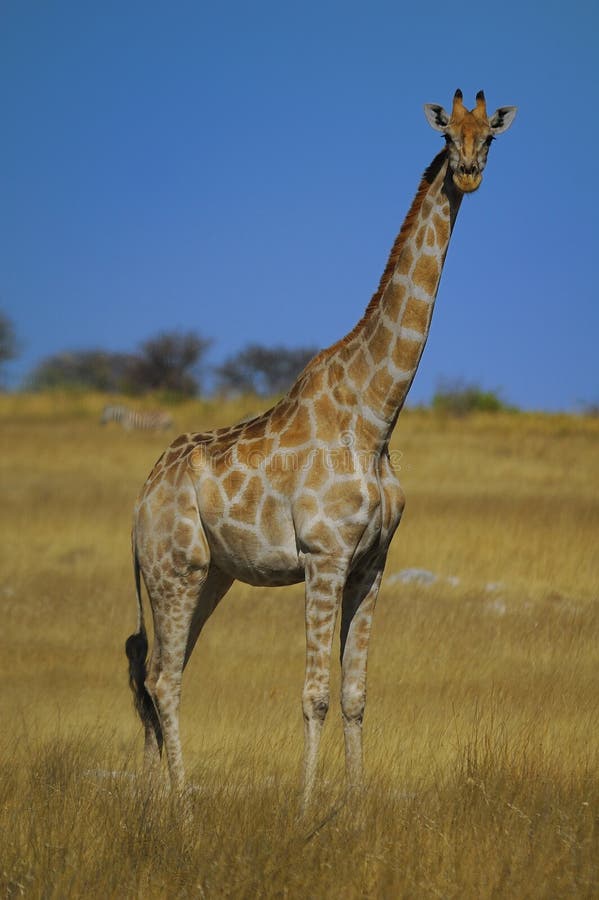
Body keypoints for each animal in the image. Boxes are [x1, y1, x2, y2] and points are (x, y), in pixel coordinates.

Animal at [126, 90, 516, 808]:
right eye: (448, 136)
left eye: (491, 137)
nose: (470, 171)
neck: (376, 417)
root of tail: (140, 498)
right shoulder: (323, 557)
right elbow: (314, 695)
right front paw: (306, 809)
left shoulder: (373, 563)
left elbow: (356, 693)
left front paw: (355, 809)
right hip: (174, 568)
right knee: (162, 675)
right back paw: (182, 808)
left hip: (209, 574)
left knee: (160, 666)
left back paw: (154, 800)